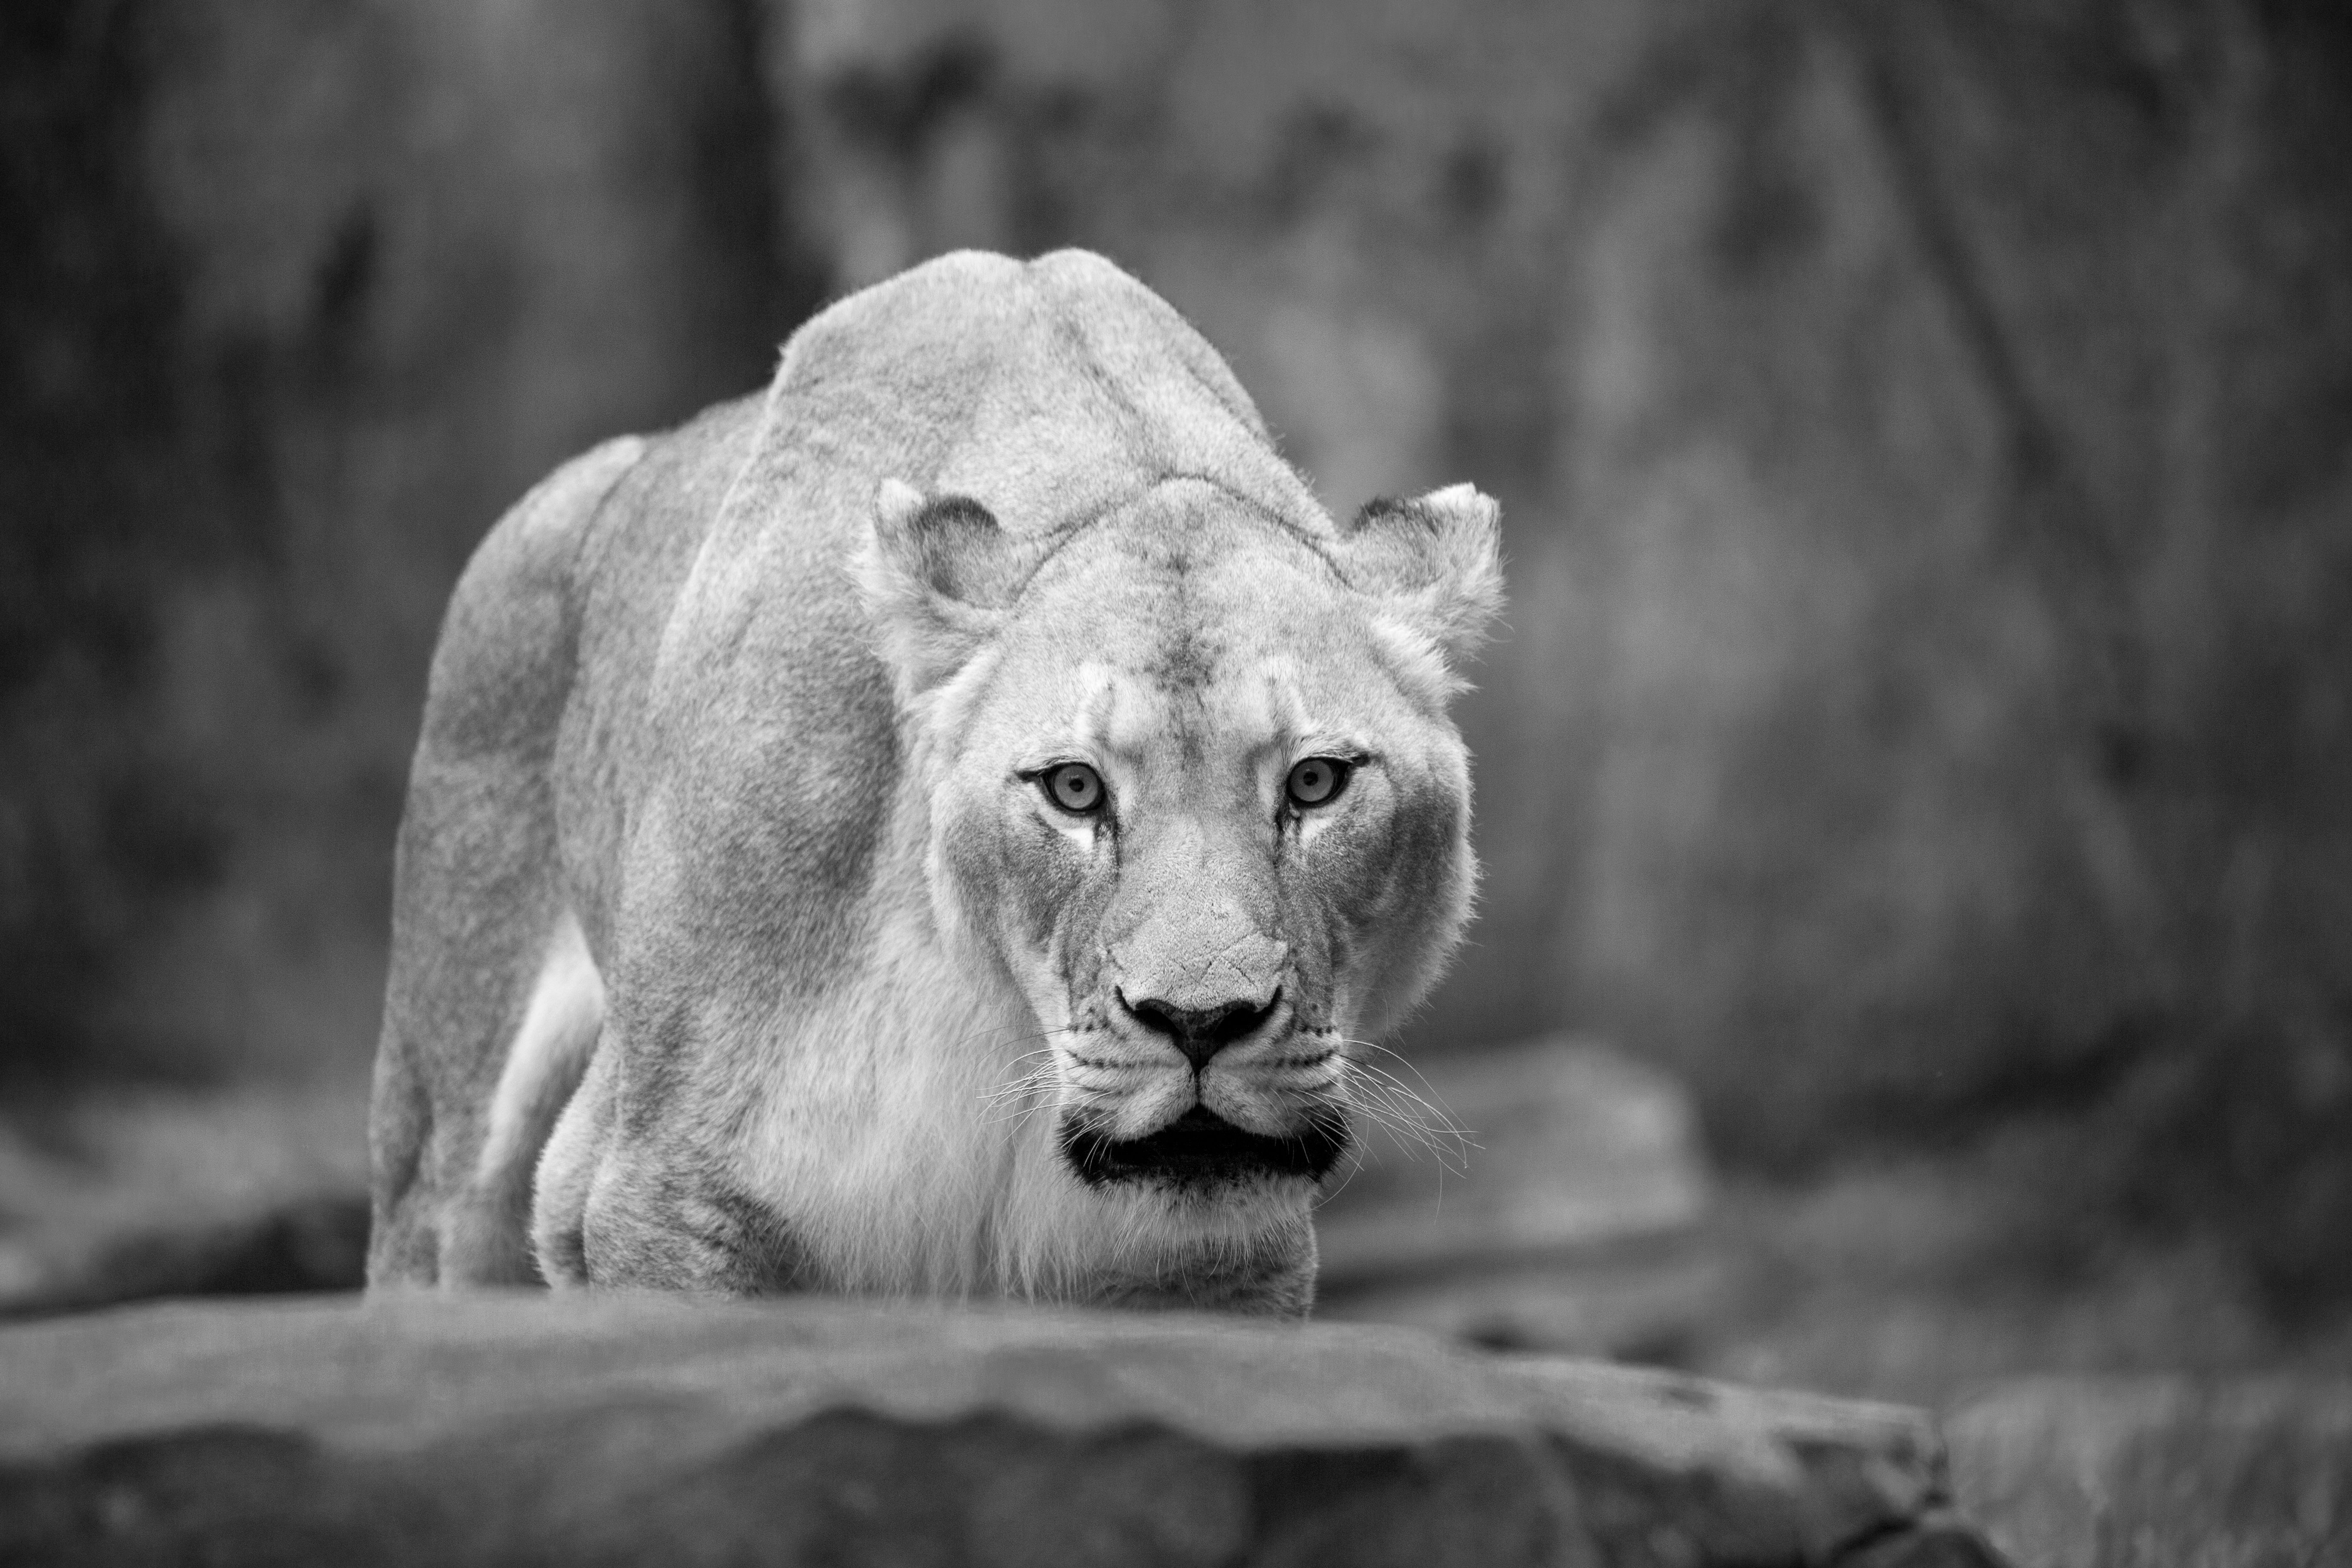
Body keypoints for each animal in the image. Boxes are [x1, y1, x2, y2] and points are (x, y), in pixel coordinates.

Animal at [366, 249, 1501, 1317]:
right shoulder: (653, 1186)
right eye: (1074, 790)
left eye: (1313, 784)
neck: (996, 1028)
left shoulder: (1224, 1265)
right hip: (450, 1153)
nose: (1200, 1021)